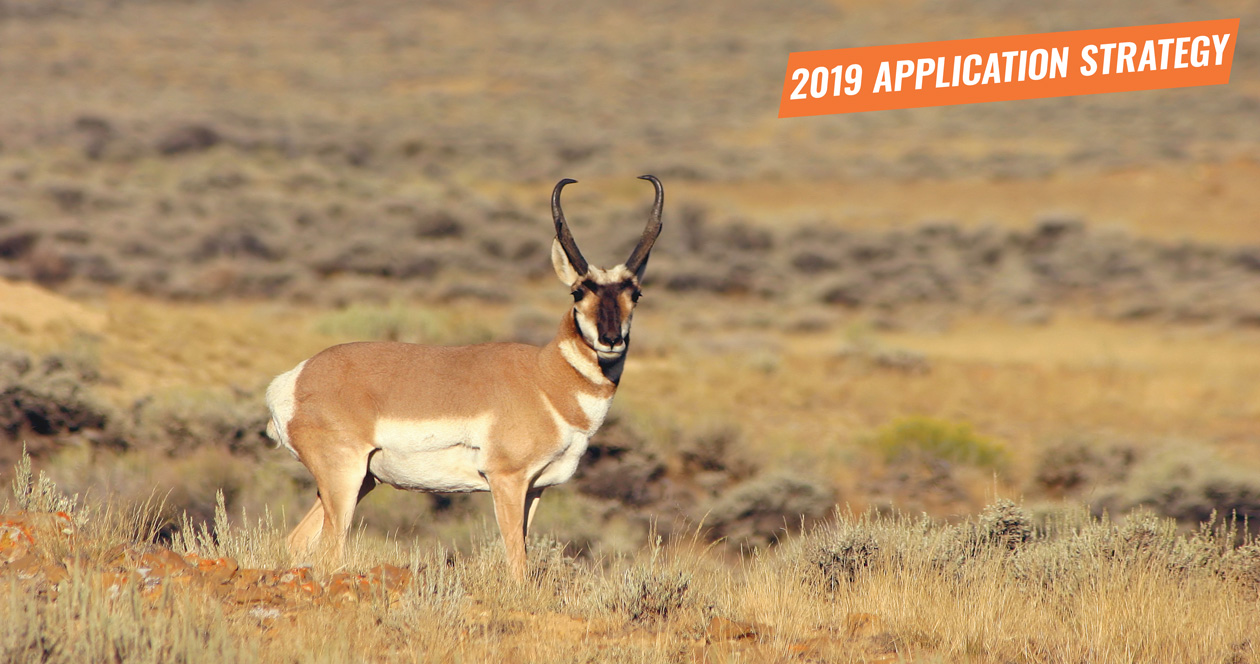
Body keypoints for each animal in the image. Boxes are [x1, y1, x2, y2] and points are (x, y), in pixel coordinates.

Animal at [264, 175, 664, 579]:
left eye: (636, 293)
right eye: (578, 291)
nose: (610, 339)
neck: (544, 378)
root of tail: (293, 378)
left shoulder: (535, 489)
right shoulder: (506, 480)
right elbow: (516, 562)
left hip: (363, 480)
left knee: (297, 541)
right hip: (344, 477)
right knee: (330, 551)